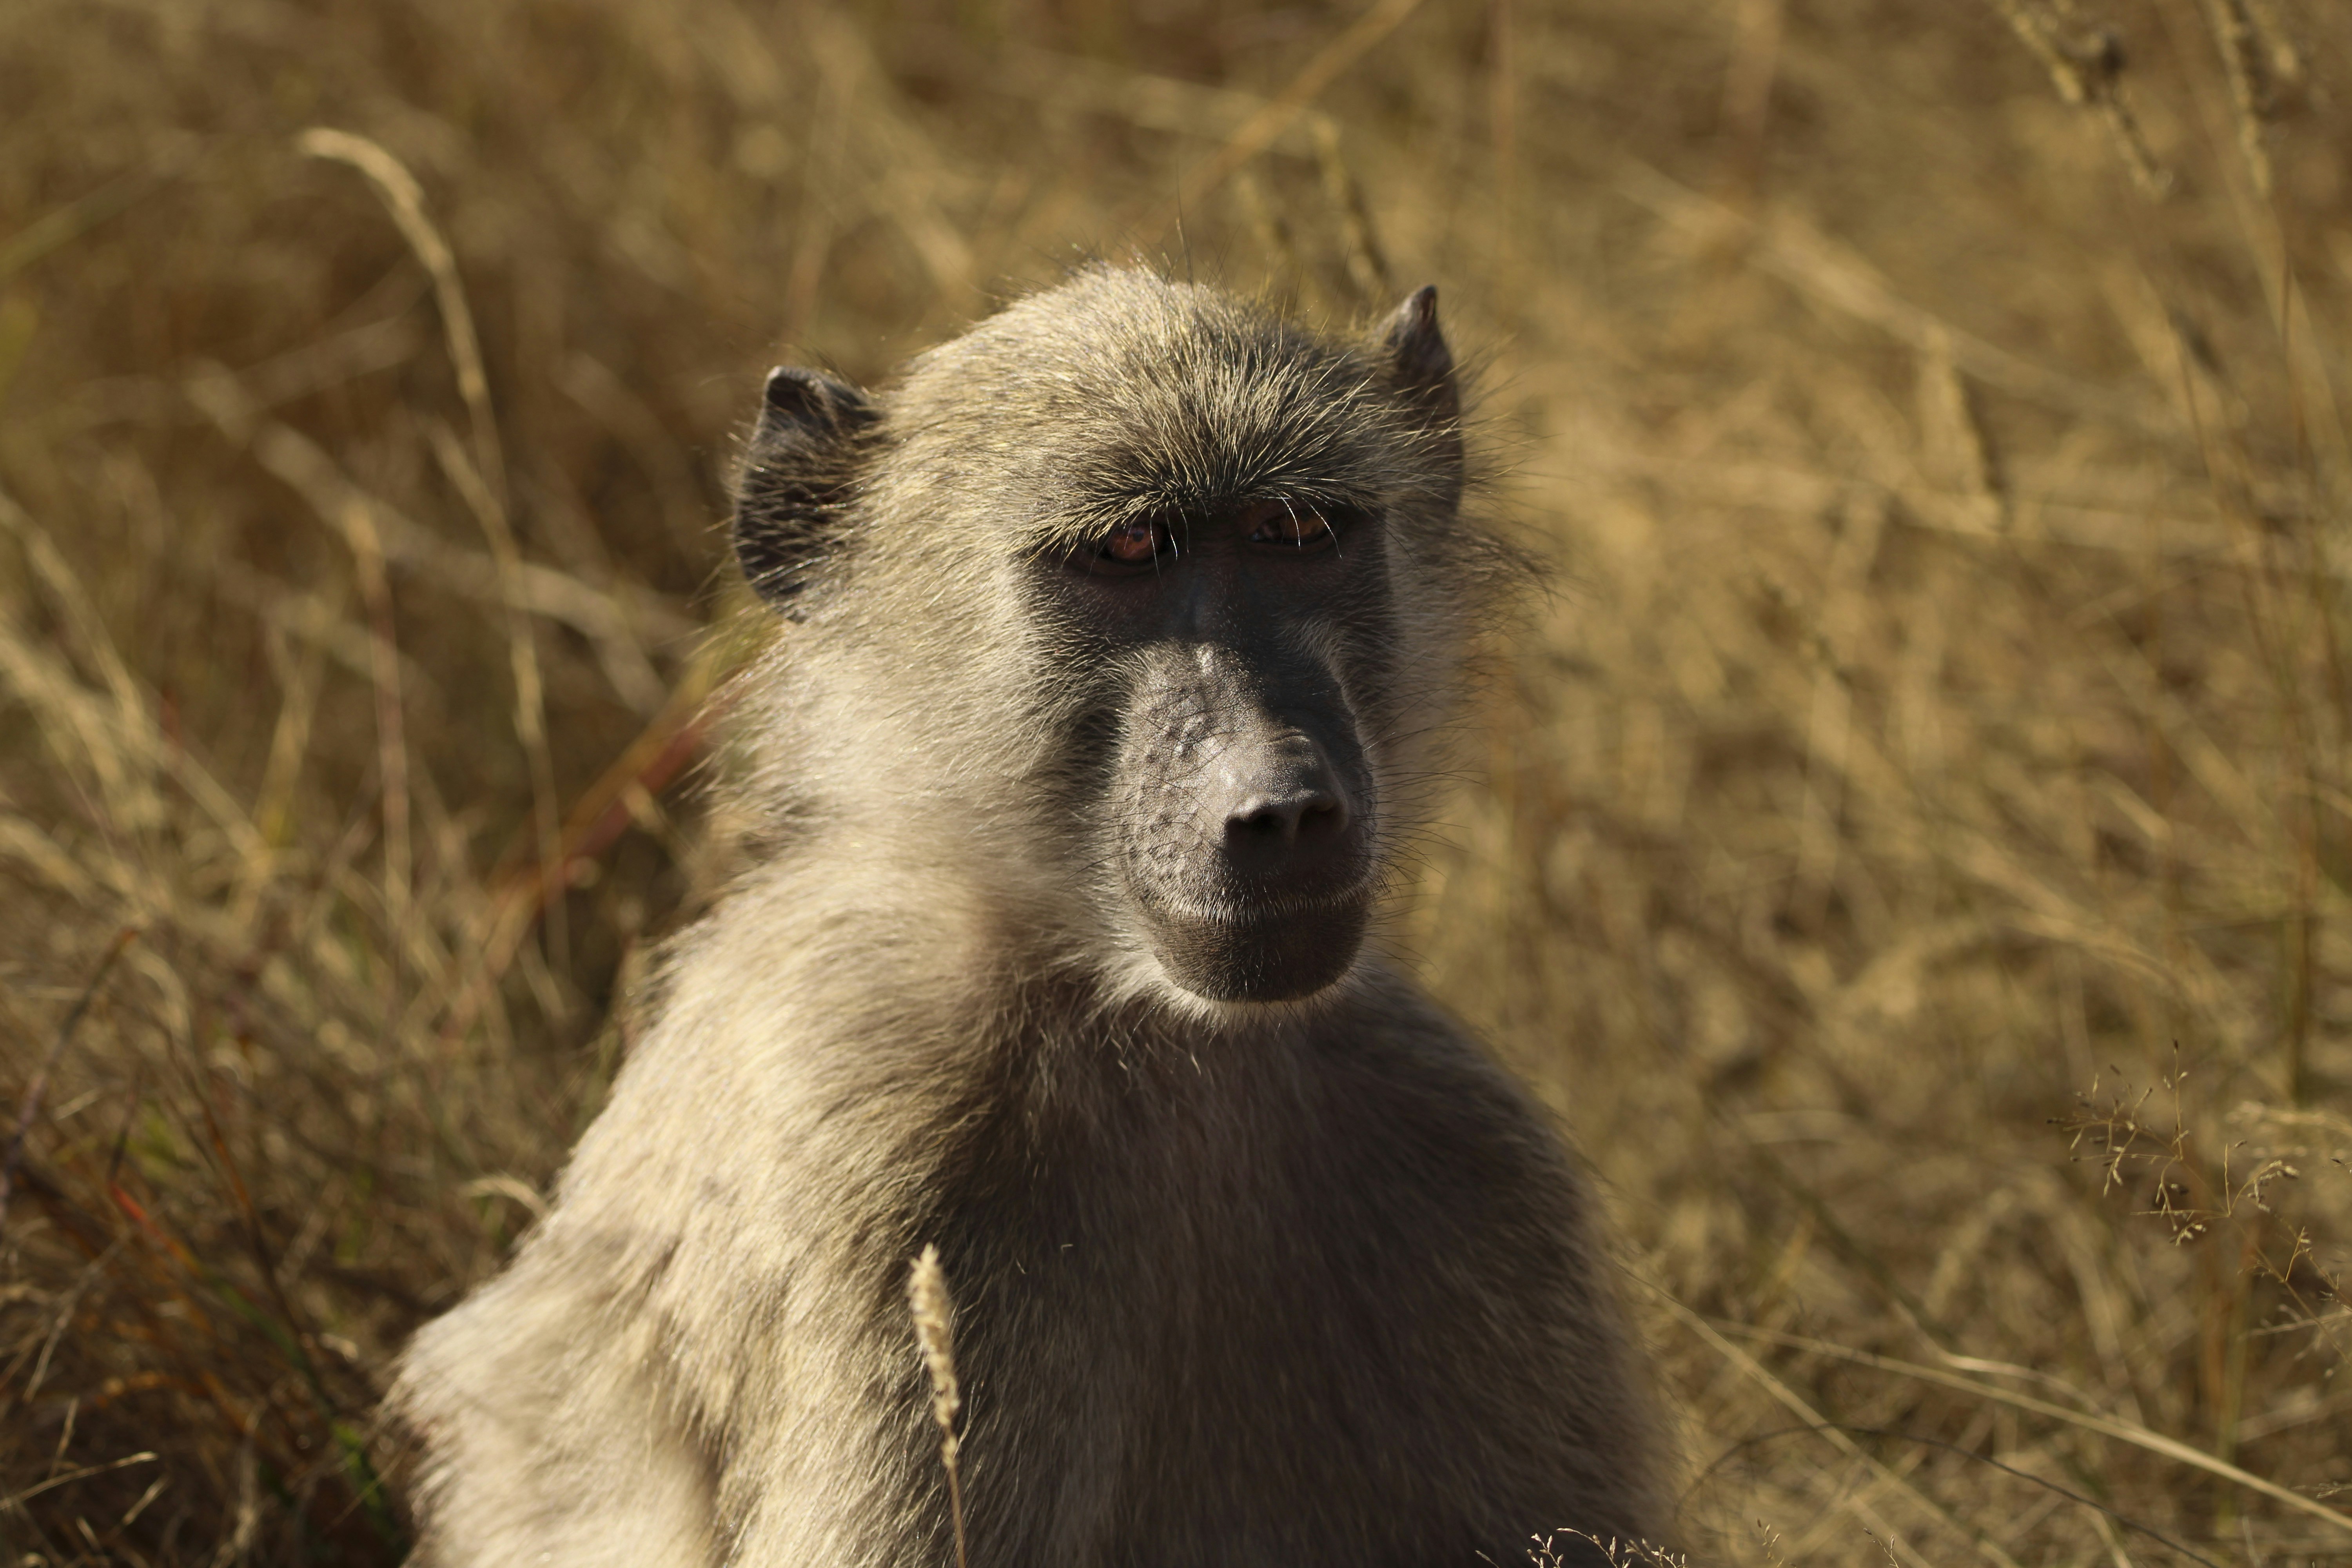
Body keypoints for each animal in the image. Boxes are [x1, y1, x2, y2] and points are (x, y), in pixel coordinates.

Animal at [390, 266, 1663, 1567]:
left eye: (1295, 536)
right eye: (1126, 551)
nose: (1282, 802)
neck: (1139, 1025)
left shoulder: (1467, 1145)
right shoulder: (889, 1173)